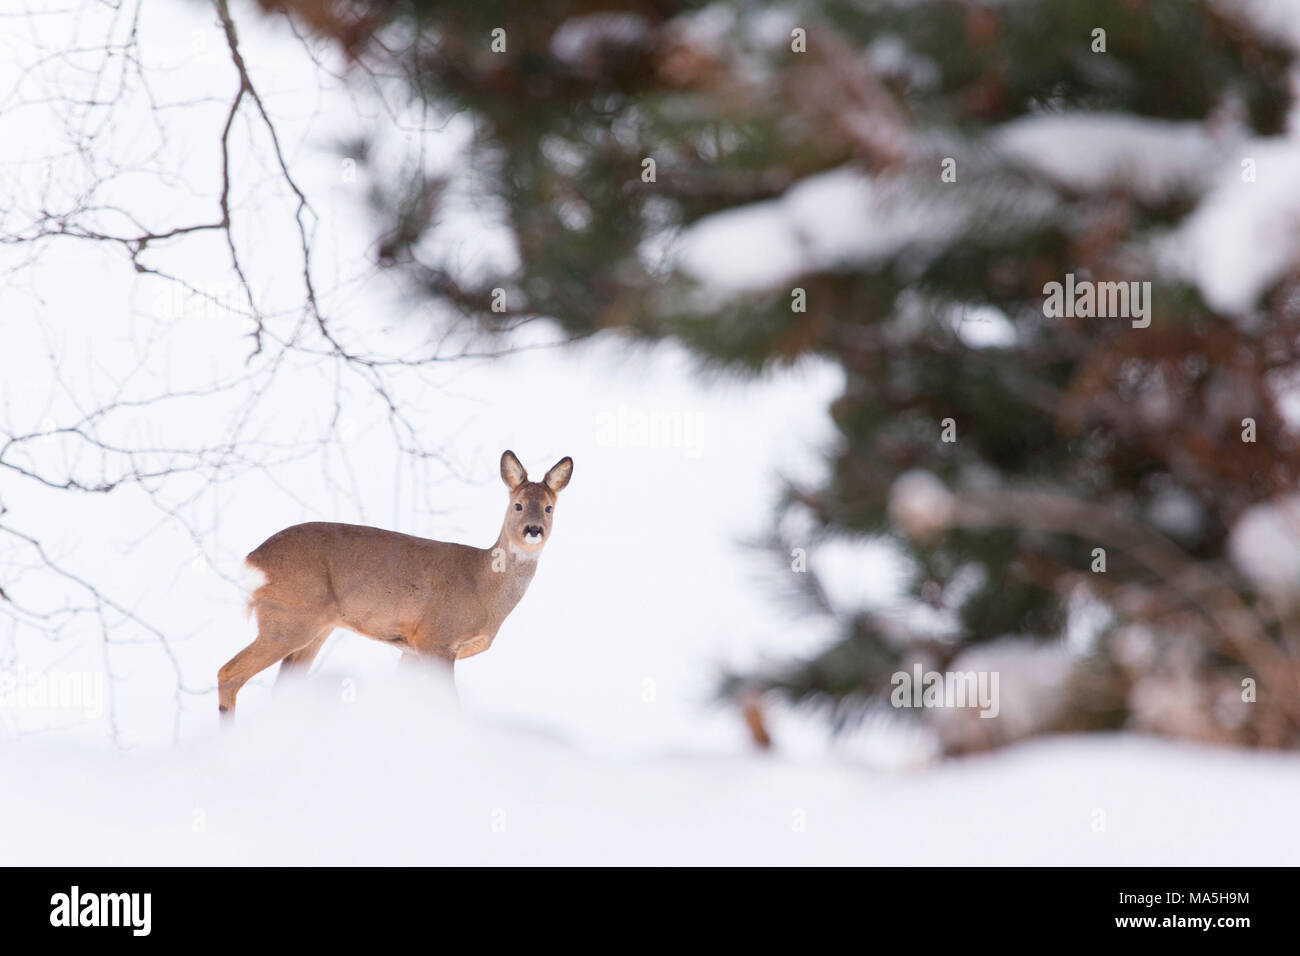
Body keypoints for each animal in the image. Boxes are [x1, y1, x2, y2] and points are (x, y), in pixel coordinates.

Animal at [217, 450, 573, 718]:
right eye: (517, 505)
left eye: (549, 508)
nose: (533, 529)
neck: (483, 587)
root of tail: (252, 560)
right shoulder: (436, 638)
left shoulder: (412, 647)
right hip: (289, 618)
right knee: (228, 673)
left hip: (316, 629)